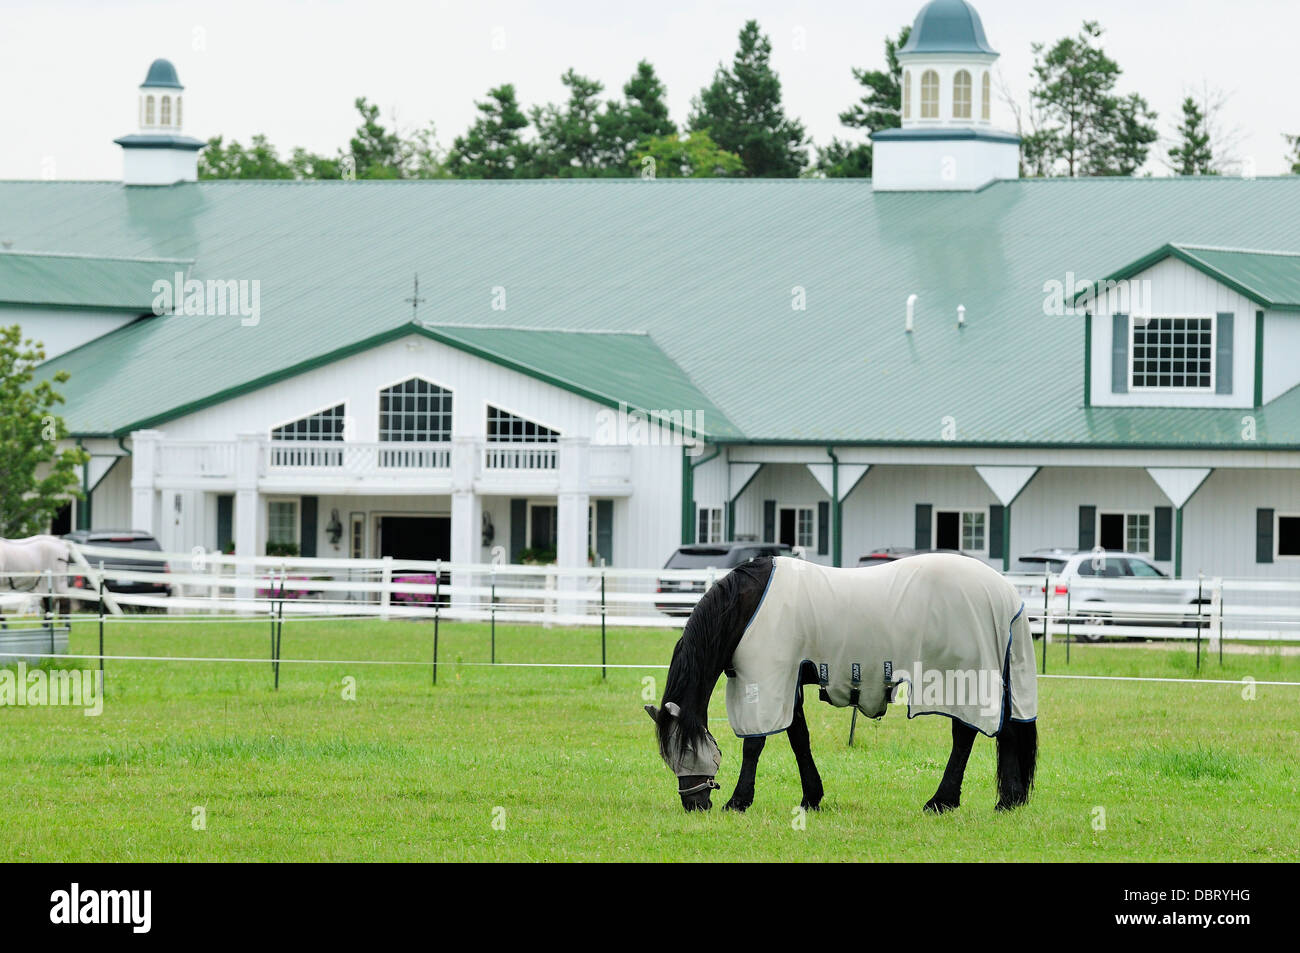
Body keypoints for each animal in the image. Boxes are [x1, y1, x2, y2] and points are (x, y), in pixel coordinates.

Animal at [646, 553, 1038, 814]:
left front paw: (739, 801)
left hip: (962, 679)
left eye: (685, 751)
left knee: (966, 735)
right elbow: (798, 738)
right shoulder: (788, 683)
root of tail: (1006, 593)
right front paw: (811, 797)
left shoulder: (767, 679)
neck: (746, 607)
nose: (695, 804)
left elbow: (754, 744)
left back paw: (943, 801)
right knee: (1003, 732)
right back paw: (1007, 801)